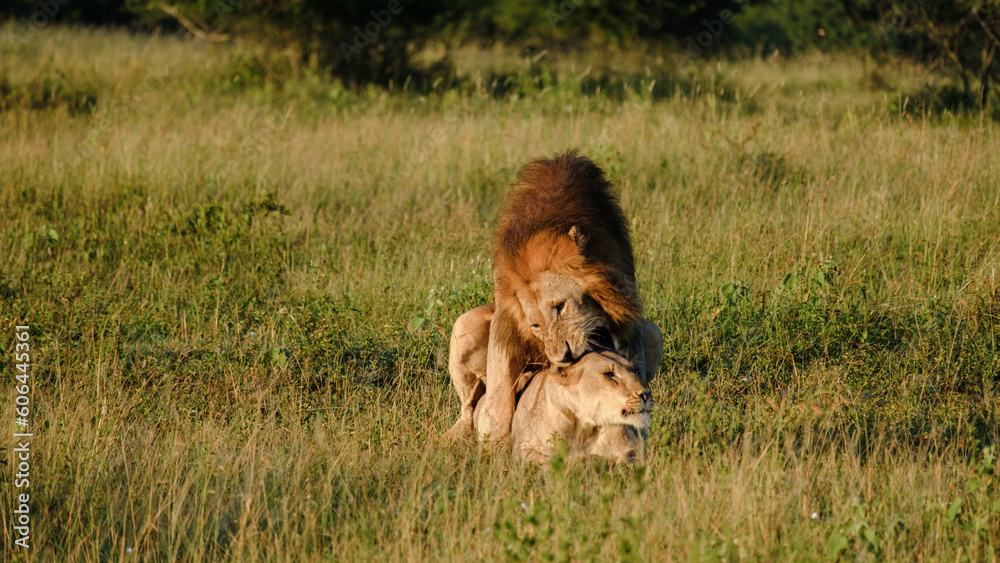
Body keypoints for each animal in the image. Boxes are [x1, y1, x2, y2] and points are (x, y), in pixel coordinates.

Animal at [474, 151, 657, 442]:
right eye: (535, 326)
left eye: (560, 306)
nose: (562, 357)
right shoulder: (506, 319)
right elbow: (499, 389)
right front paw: (493, 442)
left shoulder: (626, 316)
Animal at [511, 351, 652, 464]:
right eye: (609, 374)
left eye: (635, 371)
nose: (646, 394)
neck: (585, 427)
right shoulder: (522, 448)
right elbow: (547, 461)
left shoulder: (636, 446)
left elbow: (627, 458)